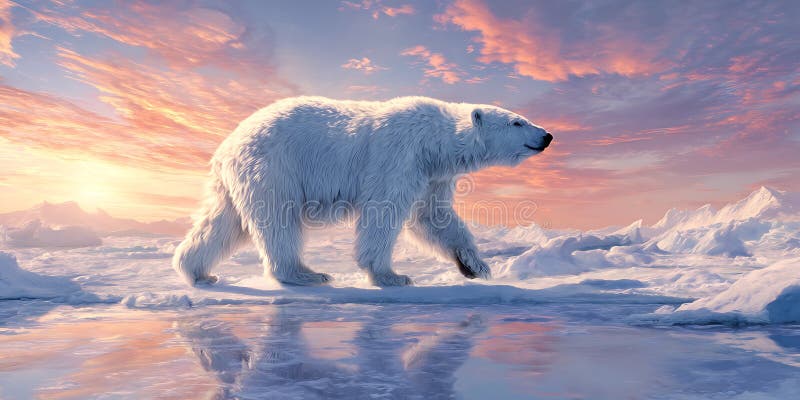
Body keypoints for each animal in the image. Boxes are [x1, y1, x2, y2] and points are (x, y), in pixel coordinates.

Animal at [172, 96, 552, 287]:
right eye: (517, 121)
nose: (547, 135)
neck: (433, 142)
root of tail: (226, 146)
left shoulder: (432, 176)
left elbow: (434, 217)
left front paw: (476, 265)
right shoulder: (398, 157)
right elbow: (383, 212)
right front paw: (391, 276)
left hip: (236, 179)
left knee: (222, 223)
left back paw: (197, 271)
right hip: (274, 167)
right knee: (278, 220)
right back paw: (305, 273)